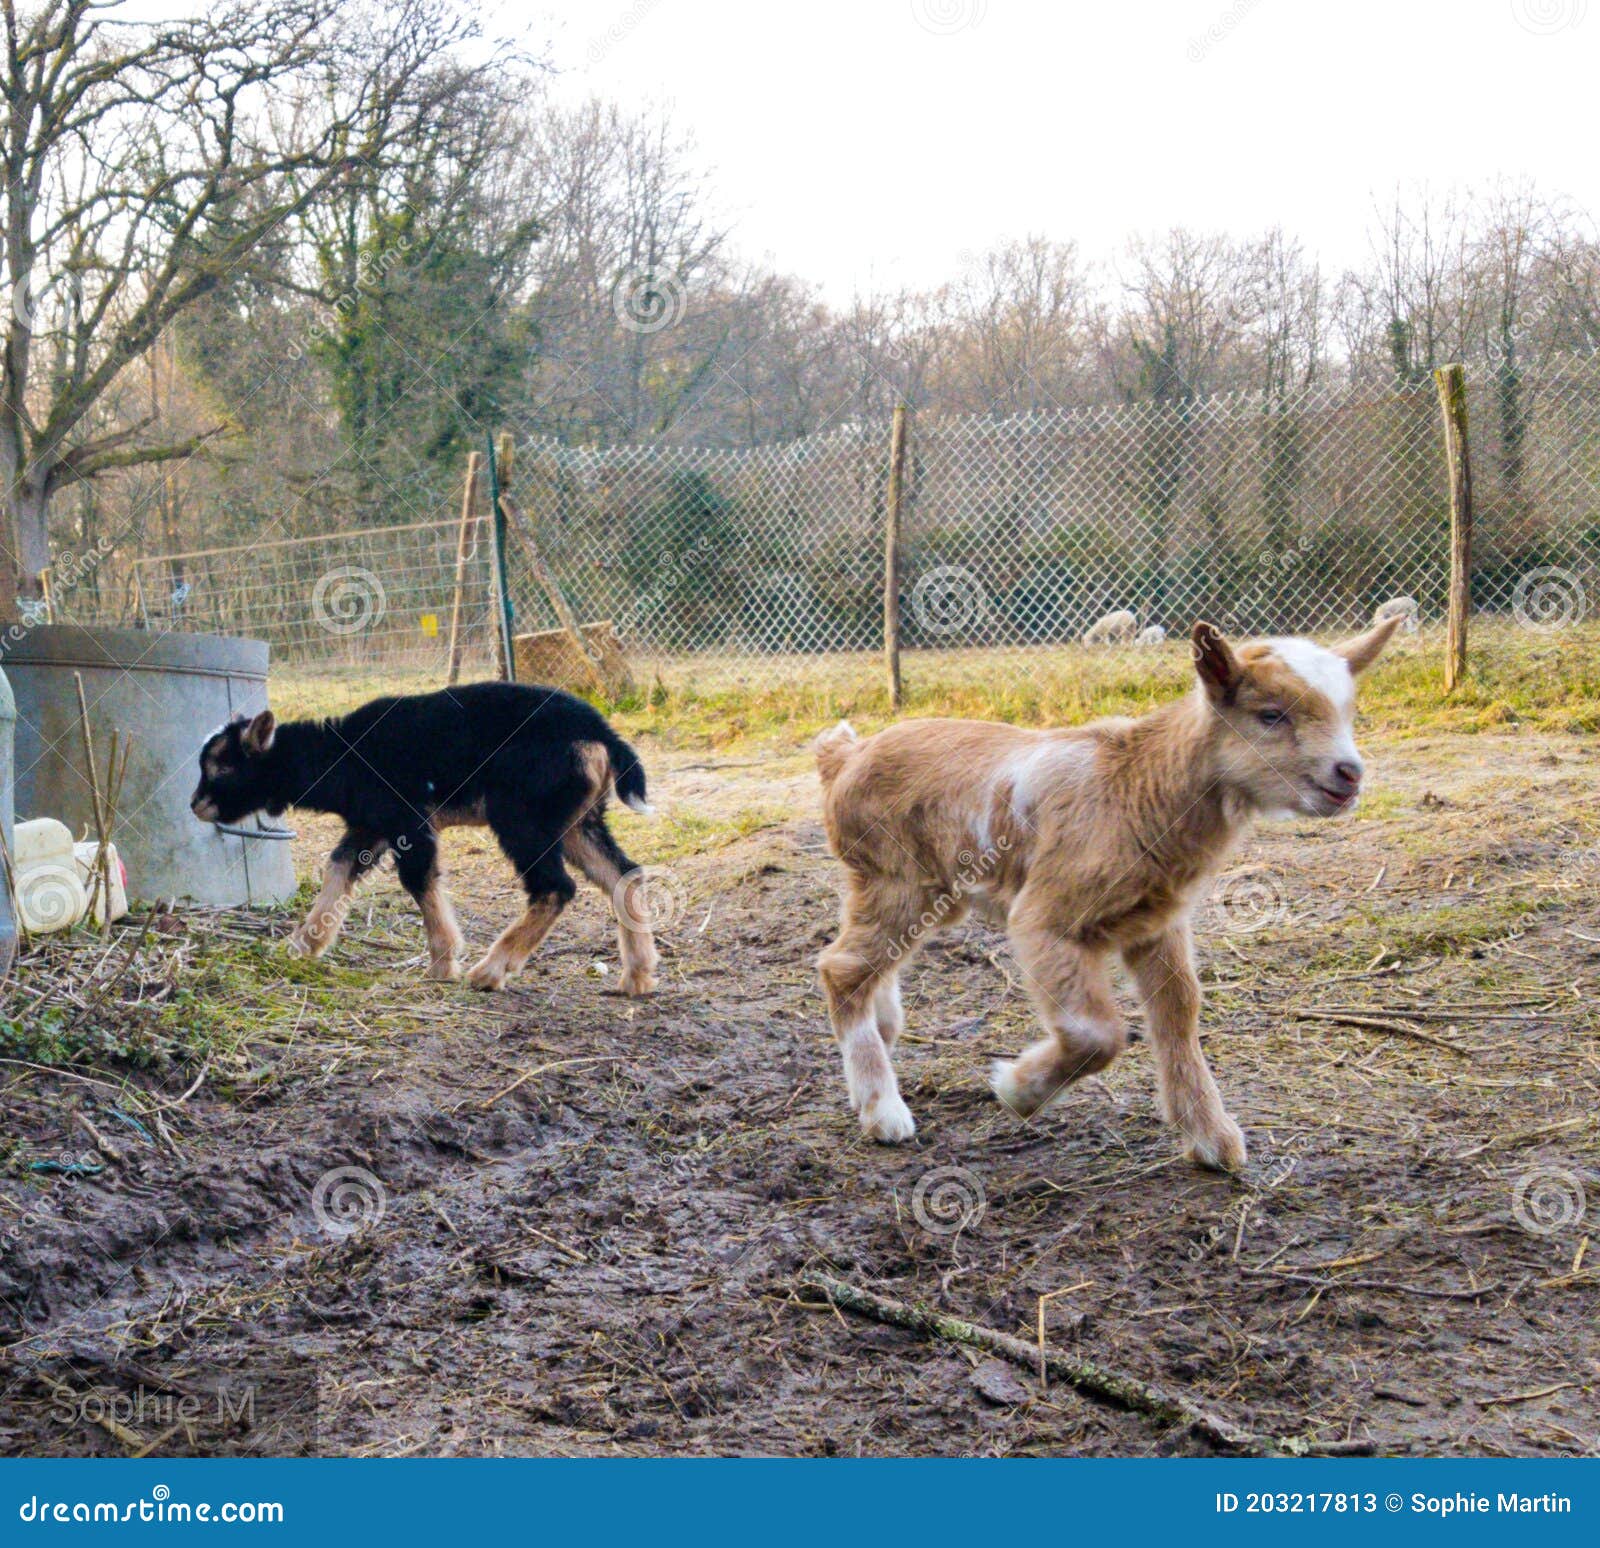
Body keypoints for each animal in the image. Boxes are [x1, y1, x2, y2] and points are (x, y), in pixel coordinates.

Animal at [190, 682, 659, 994]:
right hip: (576, 819)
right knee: (624, 874)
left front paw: (443, 962)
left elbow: (416, 879)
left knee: (556, 887)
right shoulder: (372, 824)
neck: (341, 756)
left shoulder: (408, 819)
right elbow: (338, 866)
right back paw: (637, 976)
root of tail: (603, 735)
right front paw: (304, 945)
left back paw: (491, 971)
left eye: (223, 767)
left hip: (520, 814)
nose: (196, 805)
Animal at [814, 616, 1401, 1167]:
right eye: (1272, 714)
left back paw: (884, 1030)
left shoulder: (1157, 921)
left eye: (1347, 711)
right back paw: (882, 1110)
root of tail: (845, 756)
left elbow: (1179, 1012)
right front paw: (1017, 1090)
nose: (1349, 774)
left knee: (867, 959)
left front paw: (1211, 1138)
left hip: (923, 888)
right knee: (841, 967)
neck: (1137, 785)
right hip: (898, 878)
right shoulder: (1044, 917)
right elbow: (1098, 1034)